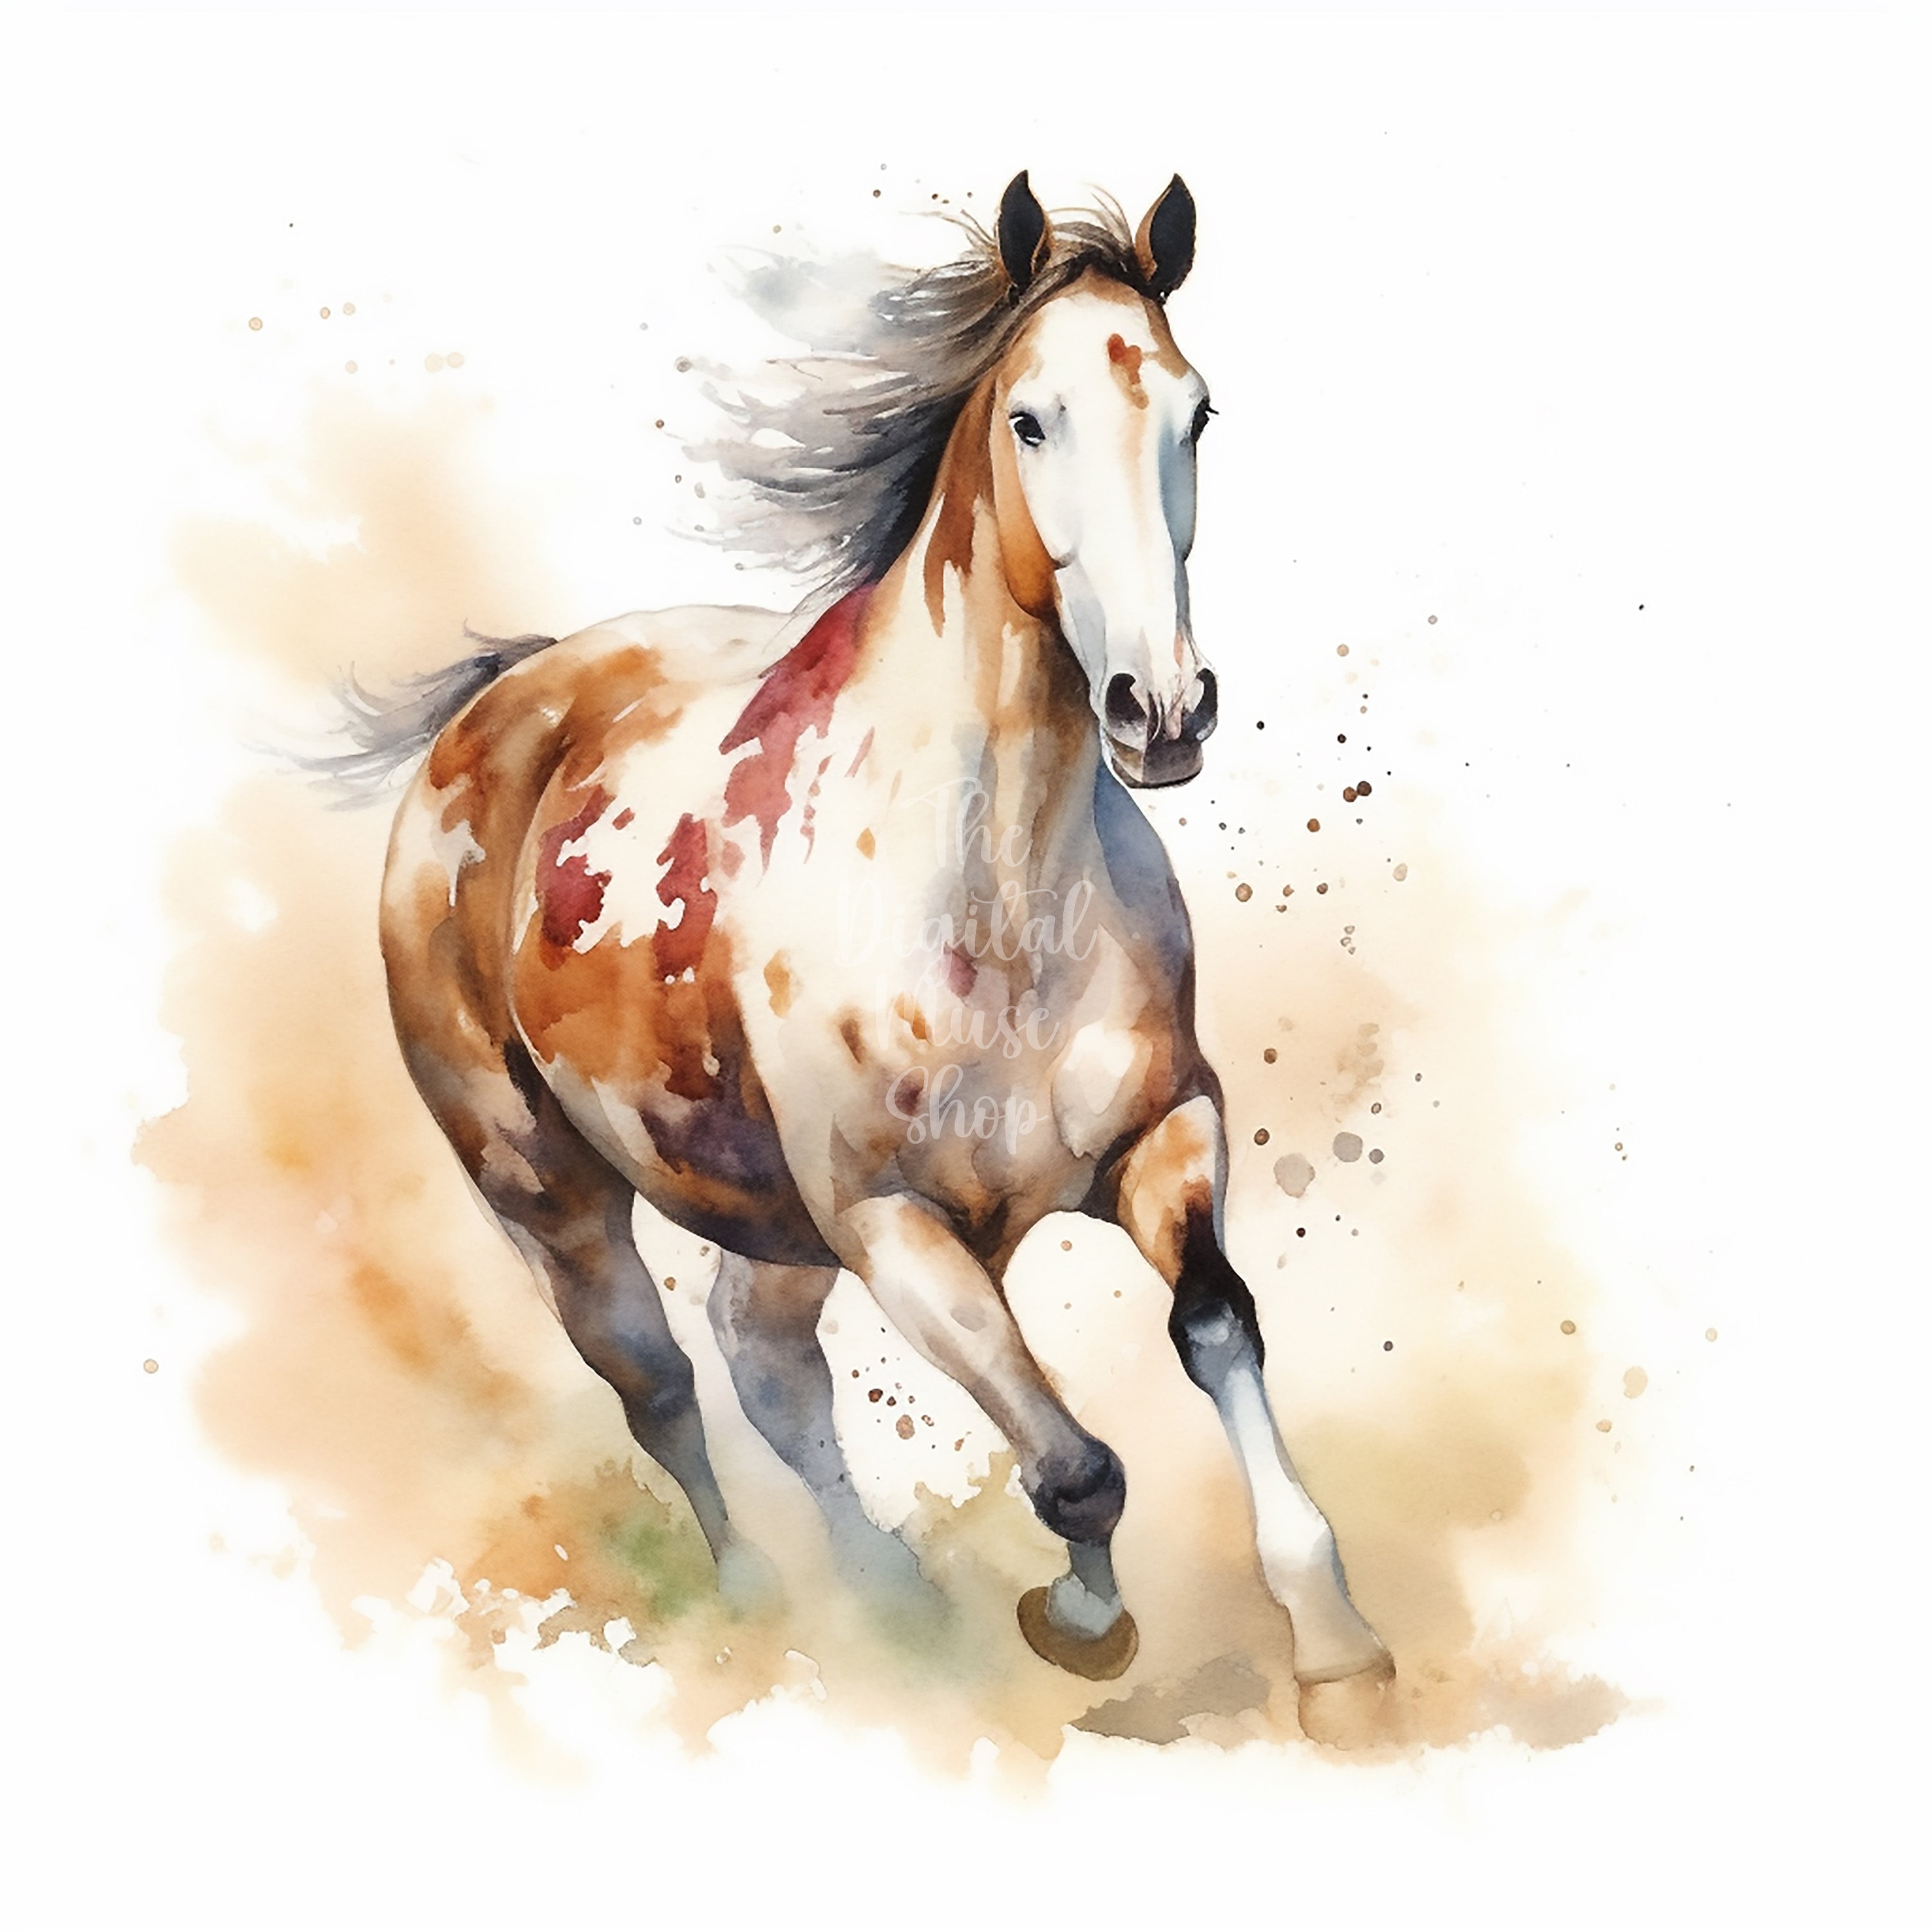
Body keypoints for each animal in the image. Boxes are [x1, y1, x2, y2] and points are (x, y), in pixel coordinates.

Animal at [343, 172, 1391, 1704]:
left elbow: (1215, 1330)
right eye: (1031, 419)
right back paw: (757, 1593)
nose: (1162, 711)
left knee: (765, 1367)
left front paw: (1335, 1638)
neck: (999, 900)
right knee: (663, 1383)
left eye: (1196, 412)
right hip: (545, 1189)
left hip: (768, 1226)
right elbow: (1076, 1467)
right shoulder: (897, 1225)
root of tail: (498, 706)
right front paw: (1085, 1620)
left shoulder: (1165, 1133)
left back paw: (893, 1597)